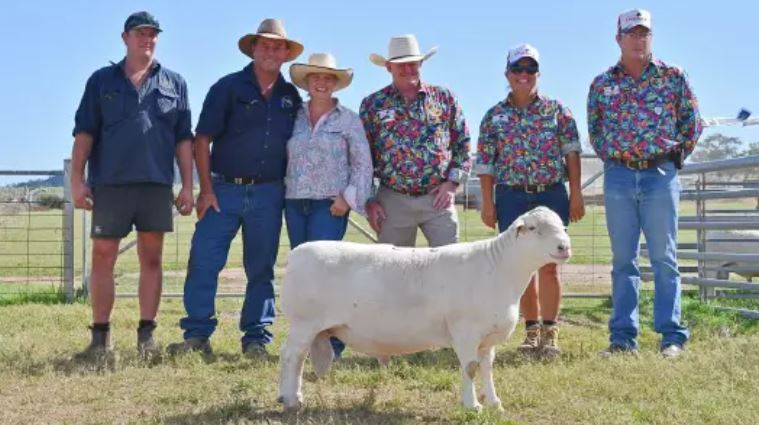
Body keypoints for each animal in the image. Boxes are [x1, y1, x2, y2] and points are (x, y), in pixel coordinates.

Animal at [277, 206, 572, 412]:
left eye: (562, 226)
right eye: (532, 228)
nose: (564, 247)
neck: (500, 268)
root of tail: (296, 253)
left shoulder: (487, 337)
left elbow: (487, 368)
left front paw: (494, 403)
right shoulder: (465, 331)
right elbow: (470, 368)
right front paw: (472, 406)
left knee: (296, 358)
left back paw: (290, 396)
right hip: (304, 322)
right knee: (292, 356)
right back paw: (291, 400)